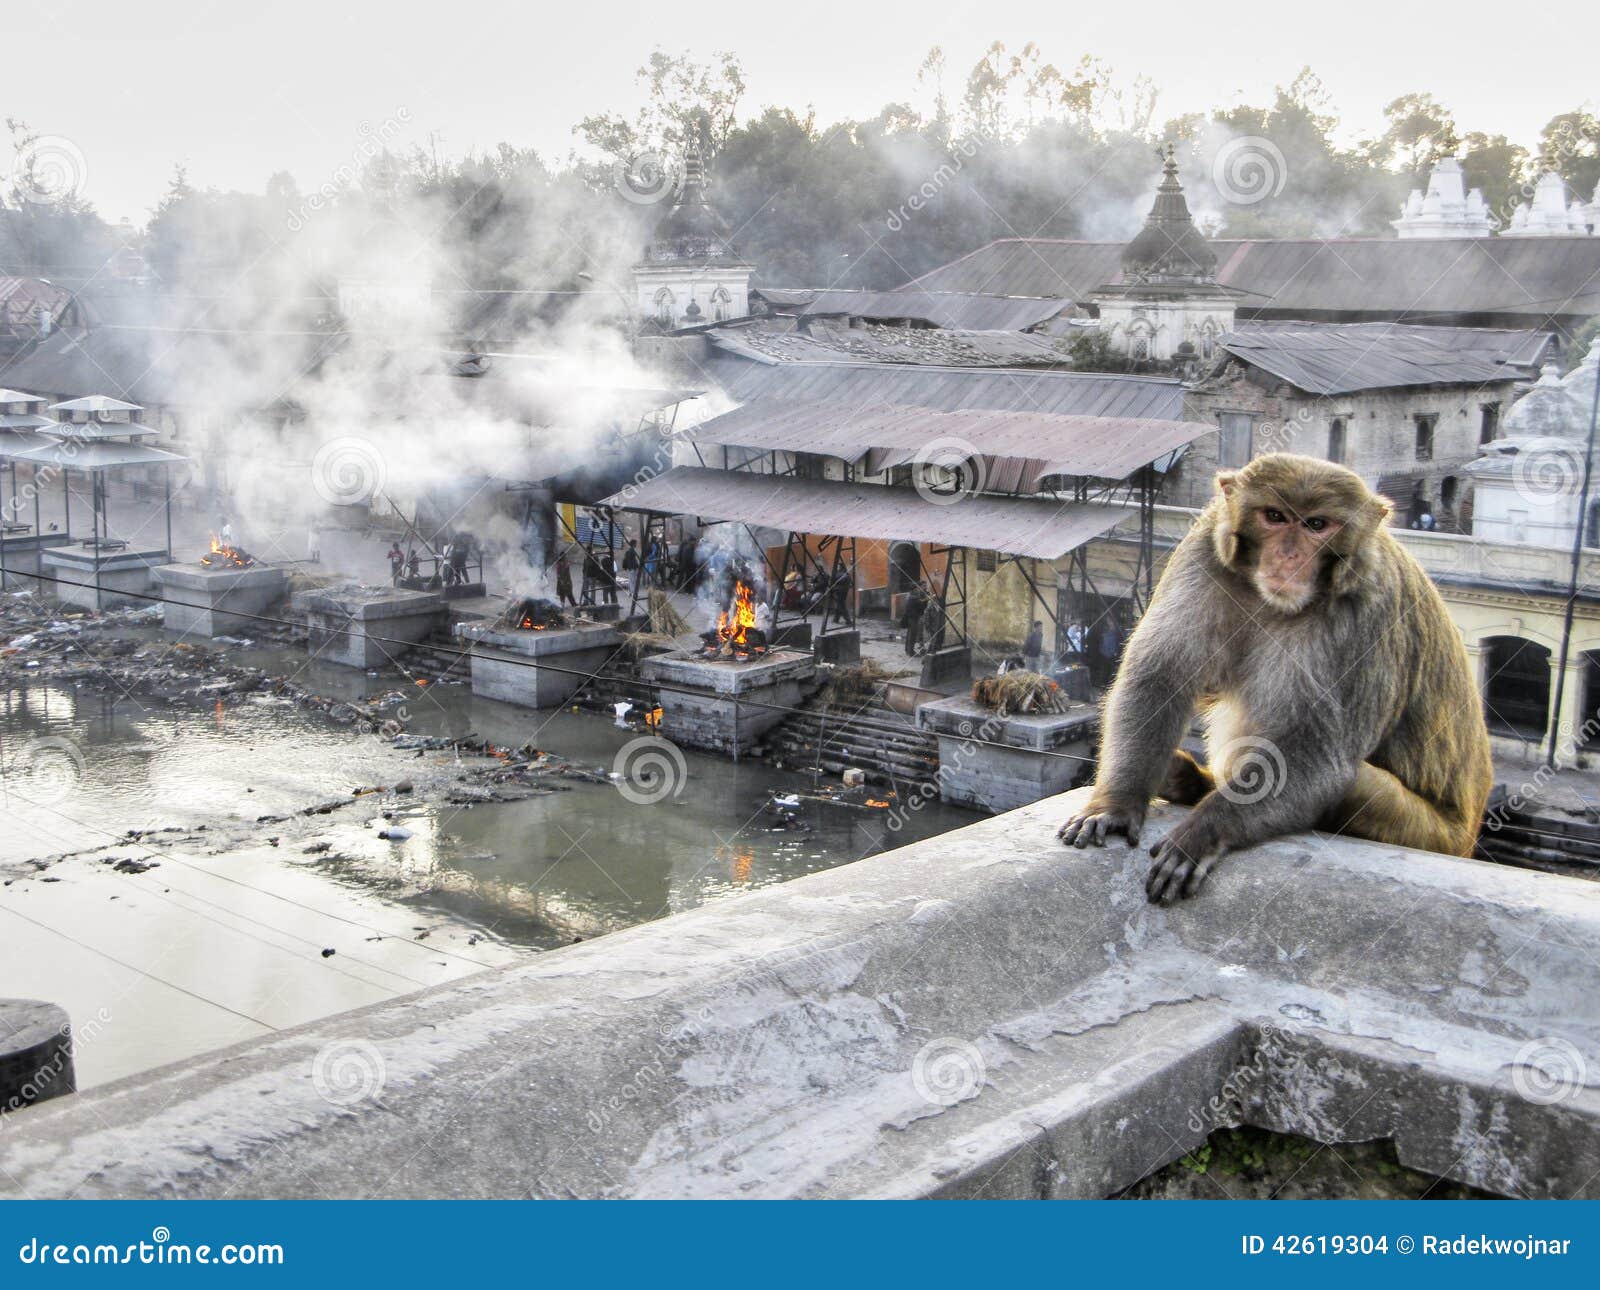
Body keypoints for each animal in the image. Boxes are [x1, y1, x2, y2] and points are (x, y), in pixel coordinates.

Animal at [1058, 453, 1492, 904]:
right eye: (1275, 516)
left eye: (1317, 524)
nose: (1289, 556)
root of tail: (1467, 835)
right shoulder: (1203, 550)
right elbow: (1158, 678)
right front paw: (1116, 803)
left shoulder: (1368, 609)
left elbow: (1320, 757)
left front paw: (1205, 831)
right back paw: (1187, 780)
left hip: (1432, 833)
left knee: (1353, 782)